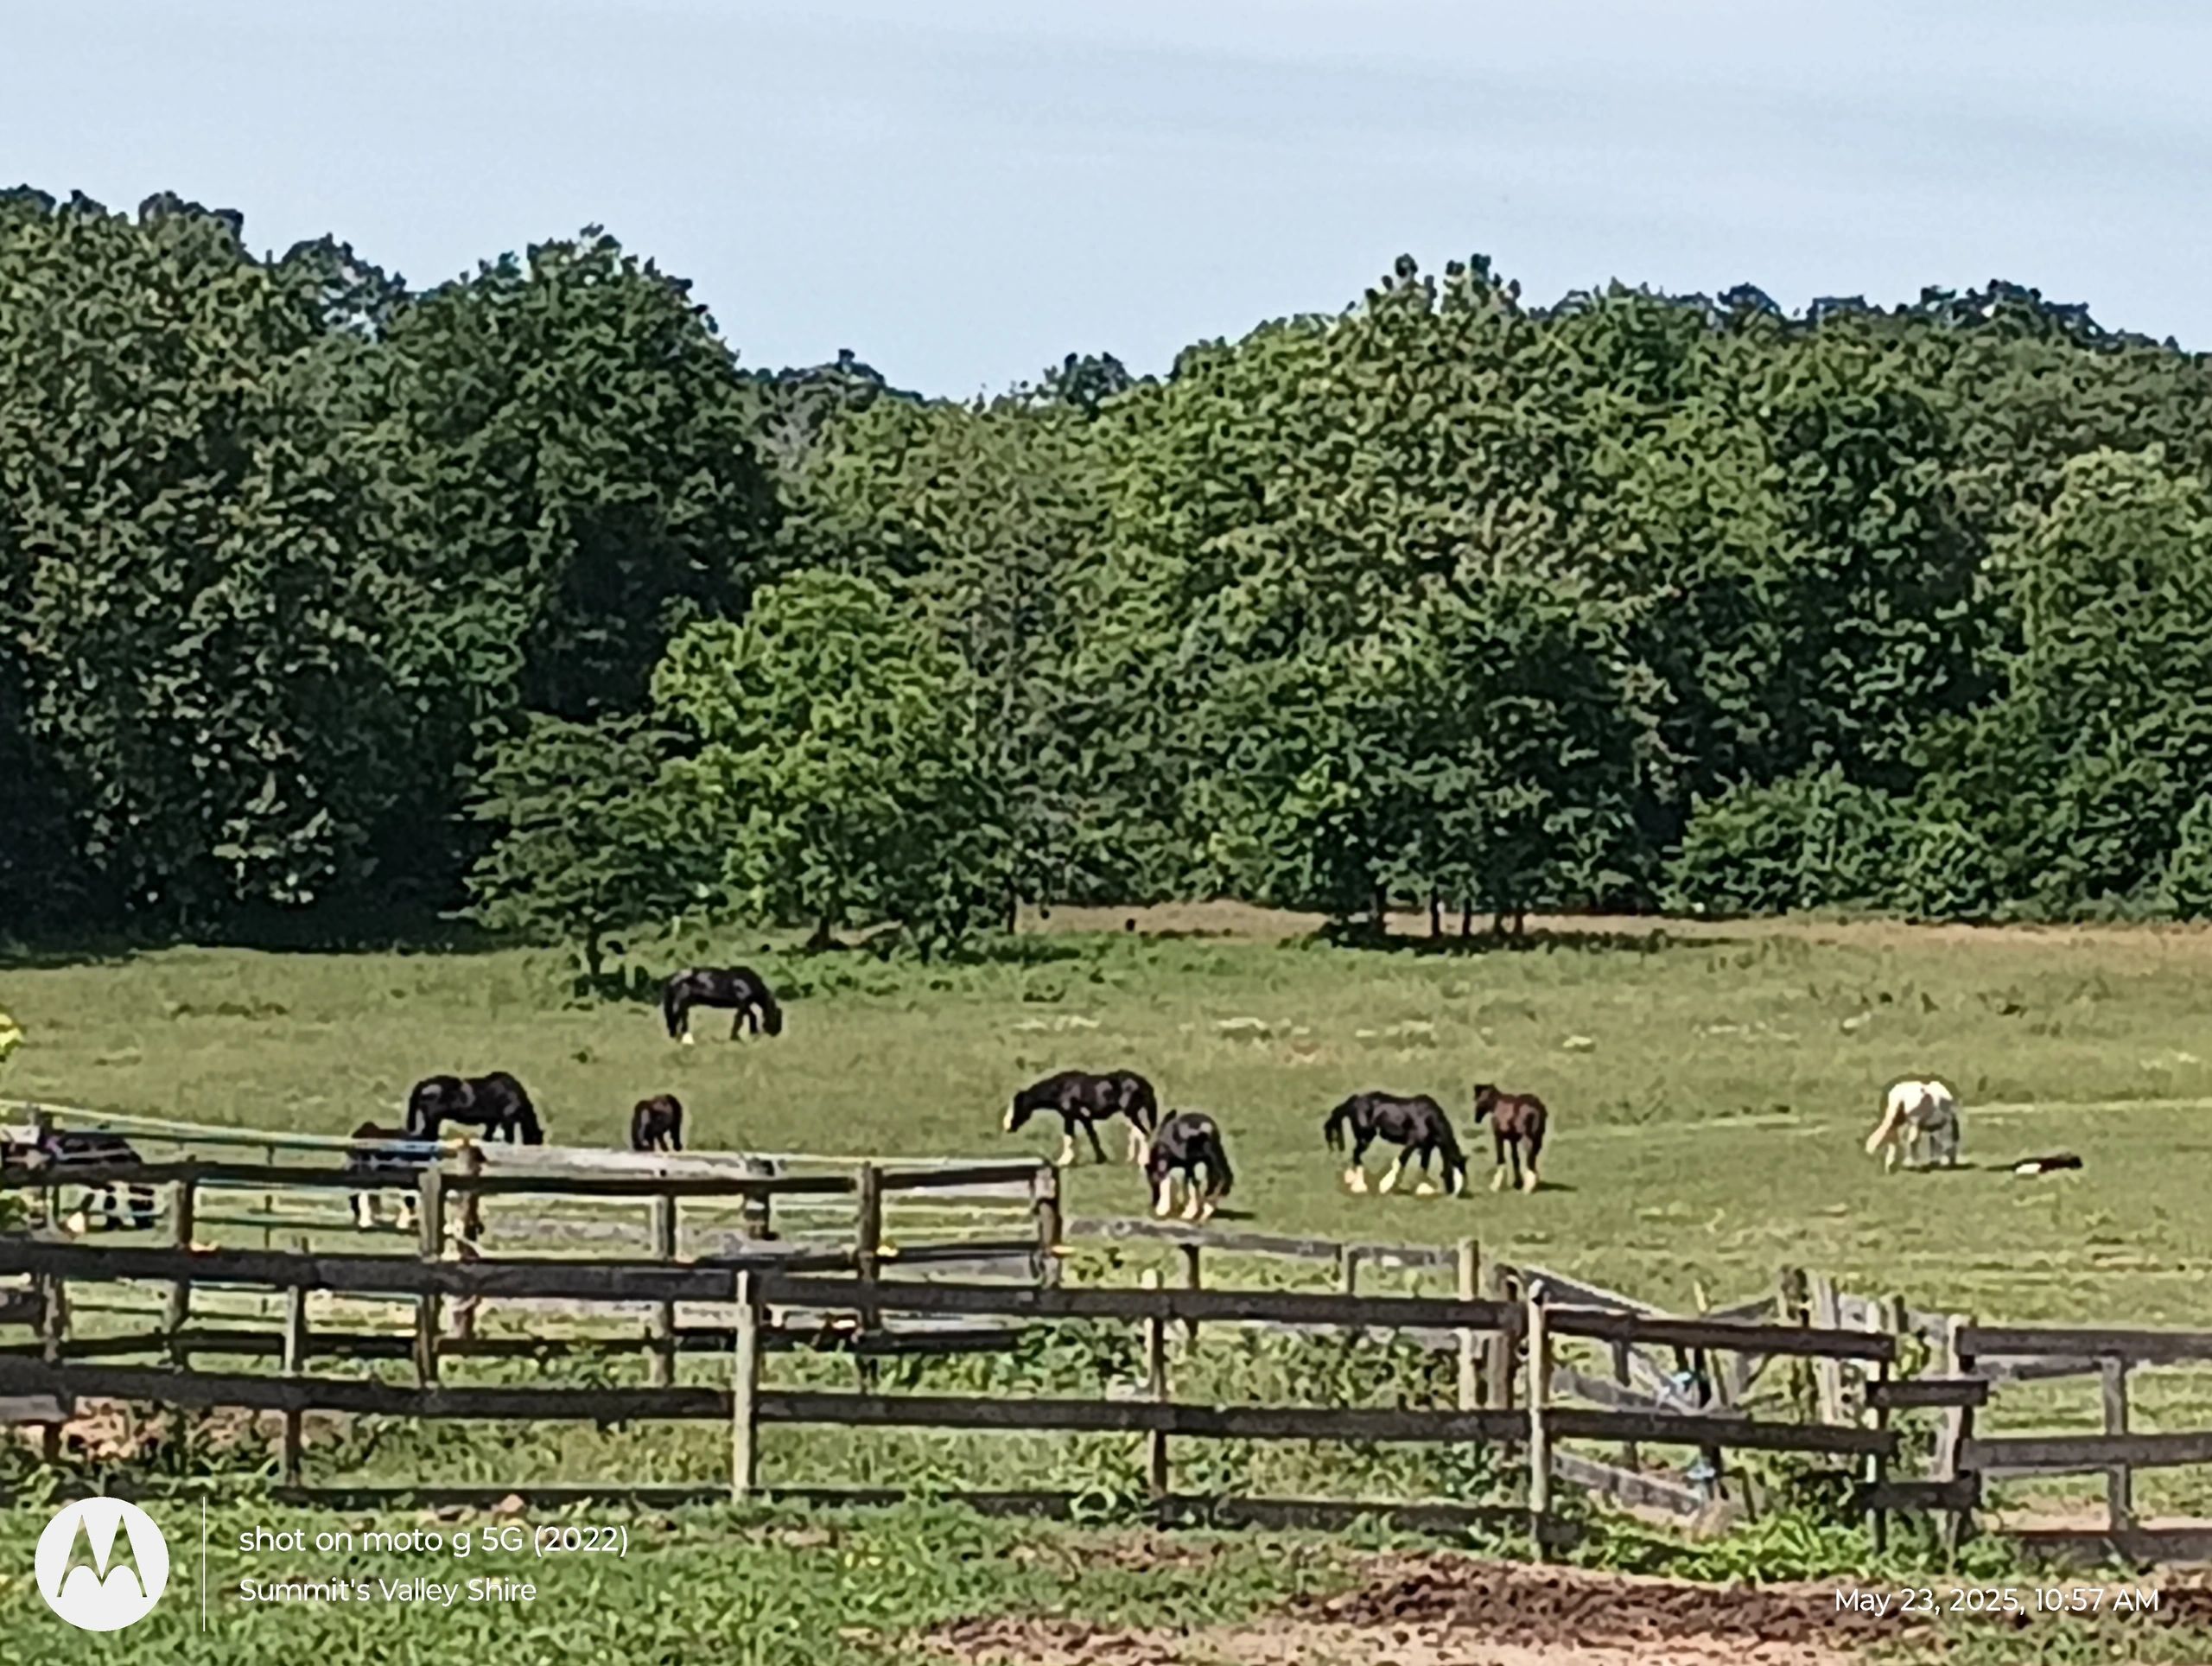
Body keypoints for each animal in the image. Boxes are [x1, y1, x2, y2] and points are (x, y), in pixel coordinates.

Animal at [406, 1072, 544, 1144]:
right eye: (537, 1140)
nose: (538, 1145)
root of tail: (424, 1082)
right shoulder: (507, 1119)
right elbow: (509, 1135)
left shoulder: (493, 1120)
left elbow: (489, 1131)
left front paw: (487, 1139)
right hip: (433, 1116)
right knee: (429, 1129)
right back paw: (433, 1138)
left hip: (432, 1117)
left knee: (426, 1130)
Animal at [663, 967, 784, 1044]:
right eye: (774, 1016)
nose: (776, 1033)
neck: (748, 983)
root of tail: (673, 977)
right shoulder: (743, 1003)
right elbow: (739, 1020)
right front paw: (734, 1038)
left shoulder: (744, 1004)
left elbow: (751, 1015)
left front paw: (752, 1031)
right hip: (681, 1001)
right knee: (675, 1016)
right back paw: (676, 1036)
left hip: (687, 1002)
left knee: (681, 1015)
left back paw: (683, 1034)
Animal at [1004, 1069, 1161, 1167]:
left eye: (1017, 1106)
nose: (1007, 1127)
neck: (1062, 1088)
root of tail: (1144, 1083)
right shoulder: (1084, 1118)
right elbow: (1092, 1137)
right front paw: (1100, 1159)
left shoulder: (1069, 1116)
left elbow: (1069, 1137)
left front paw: (1063, 1162)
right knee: (1136, 1133)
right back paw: (1131, 1160)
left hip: (1130, 1113)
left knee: (1142, 1133)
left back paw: (1142, 1161)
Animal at [1321, 1091, 1466, 1196]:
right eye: (1453, 1171)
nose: (1455, 1194)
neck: (1428, 1118)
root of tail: (1355, 1100)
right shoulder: (1412, 1143)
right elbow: (1400, 1161)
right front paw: (1385, 1186)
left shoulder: (1426, 1147)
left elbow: (1424, 1167)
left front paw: (1422, 1189)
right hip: (1365, 1137)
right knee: (1356, 1155)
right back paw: (1359, 1186)